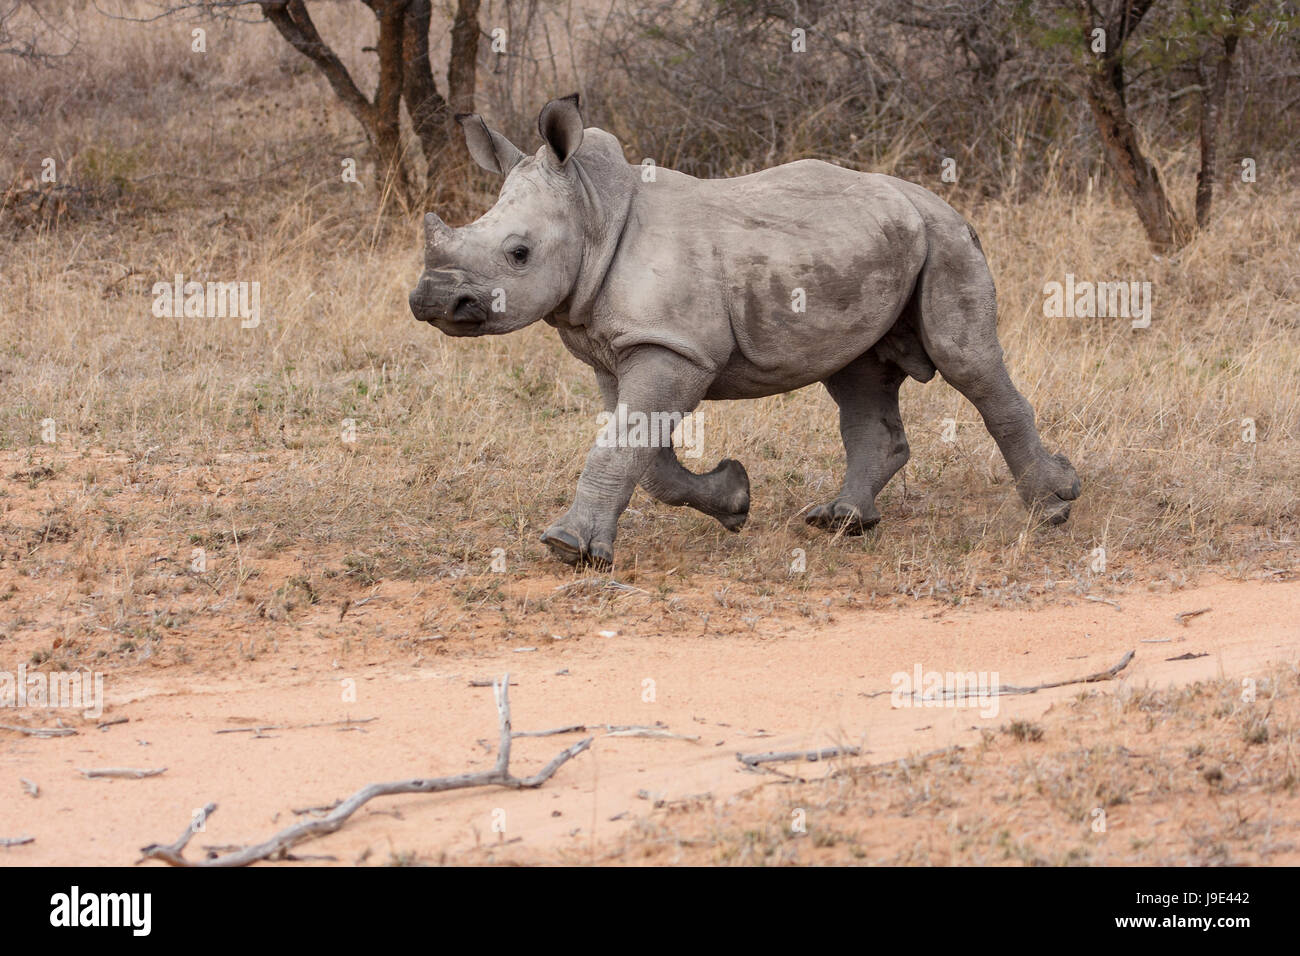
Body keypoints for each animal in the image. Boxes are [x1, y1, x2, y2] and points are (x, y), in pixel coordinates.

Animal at [409, 94, 1081, 568]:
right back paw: (840, 522)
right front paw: (734, 499)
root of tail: (940, 201)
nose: (430, 300)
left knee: (967, 360)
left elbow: (623, 444)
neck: (593, 211)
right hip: (870, 246)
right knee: (857, 375)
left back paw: (1054, 507)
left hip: (946, 241)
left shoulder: (671, 347)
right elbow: (644, 455)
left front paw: (568, 550)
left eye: (518, 254)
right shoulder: (624, 345)